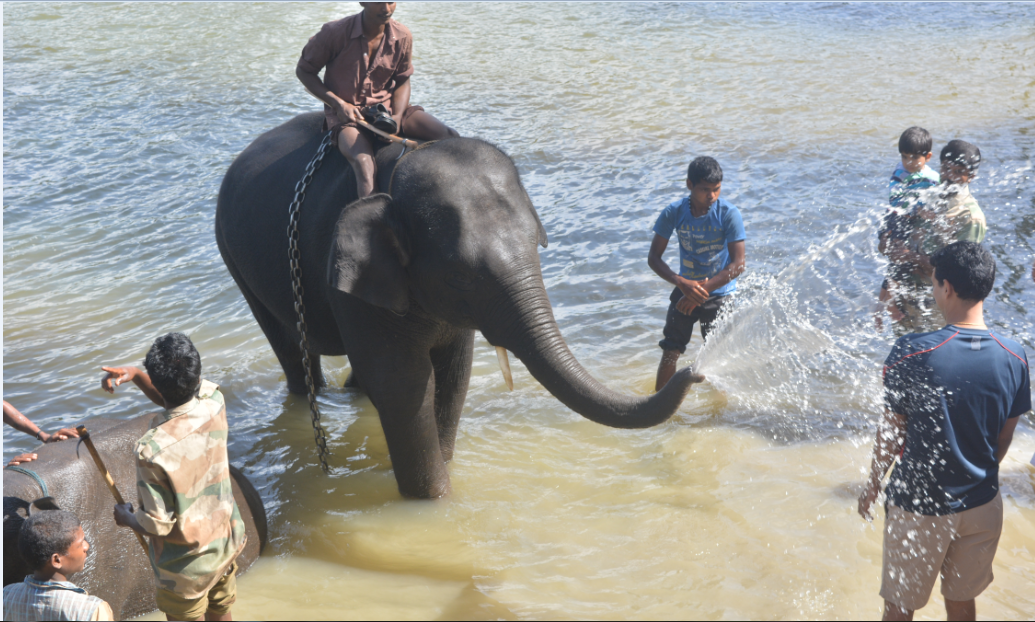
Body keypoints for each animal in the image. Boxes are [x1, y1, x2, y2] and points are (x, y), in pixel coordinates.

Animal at [215, 111, 702, 499]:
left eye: (536, 245)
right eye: (461, 275)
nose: (694, 372)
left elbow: (454, 373)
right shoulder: (350, 277)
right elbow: (406, 383)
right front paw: (433, 502)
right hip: (233, 254)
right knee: (289, 349)